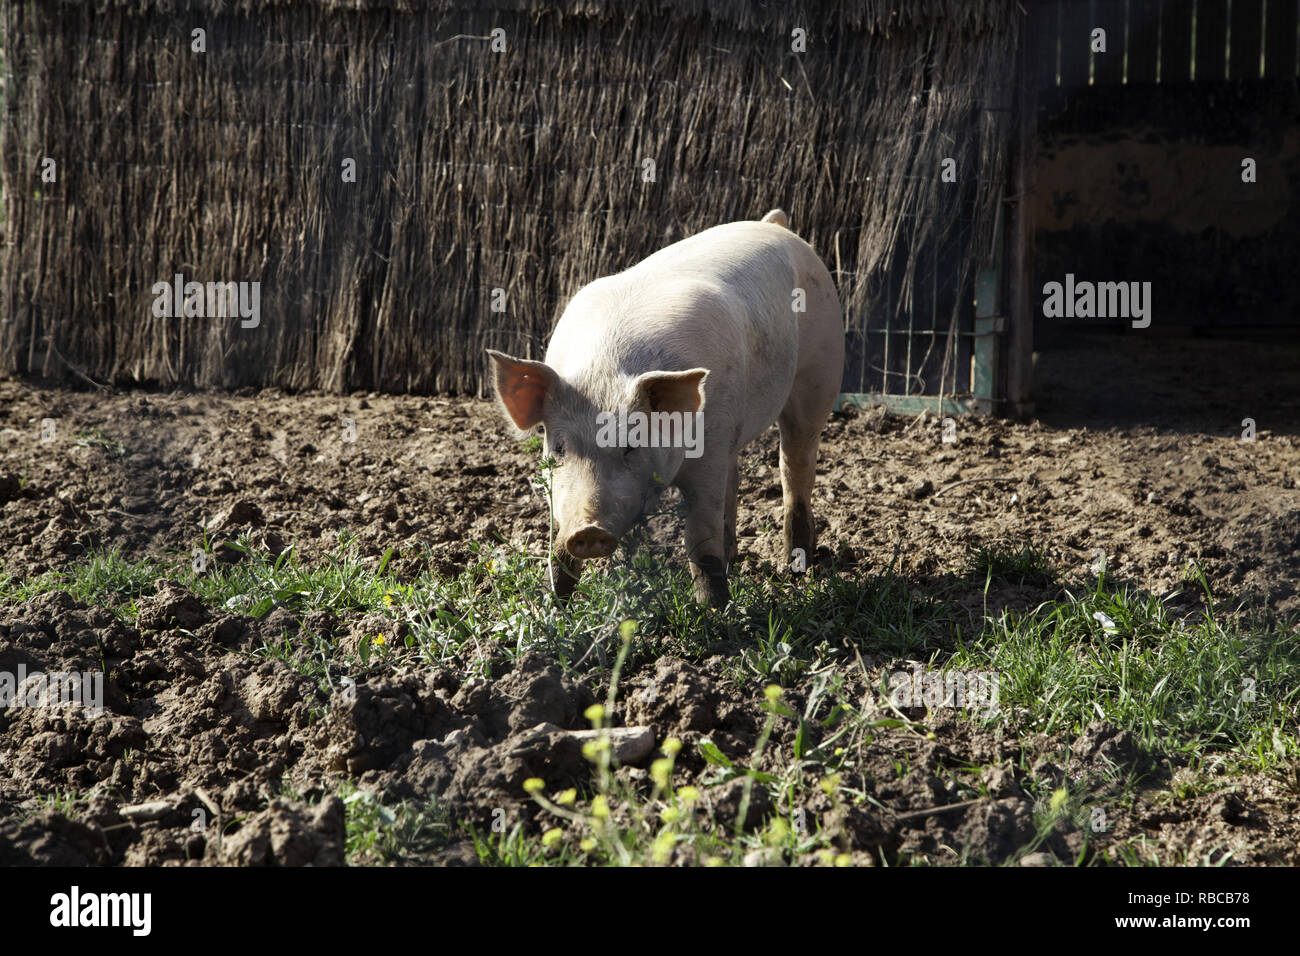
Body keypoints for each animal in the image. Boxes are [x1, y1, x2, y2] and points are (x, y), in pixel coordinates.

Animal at [487, 208, 843, 607]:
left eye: (631, 445)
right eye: (560, 448)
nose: (588, 530)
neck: (605, 371)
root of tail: (773, 225)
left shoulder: (708, 455)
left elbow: (699, 538)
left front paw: (714, 611)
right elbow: (558, 546)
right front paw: (557, 607)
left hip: (820, 372)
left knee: (795, 467)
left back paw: (794, 569)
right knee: (737, 477)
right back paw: (736, 560)